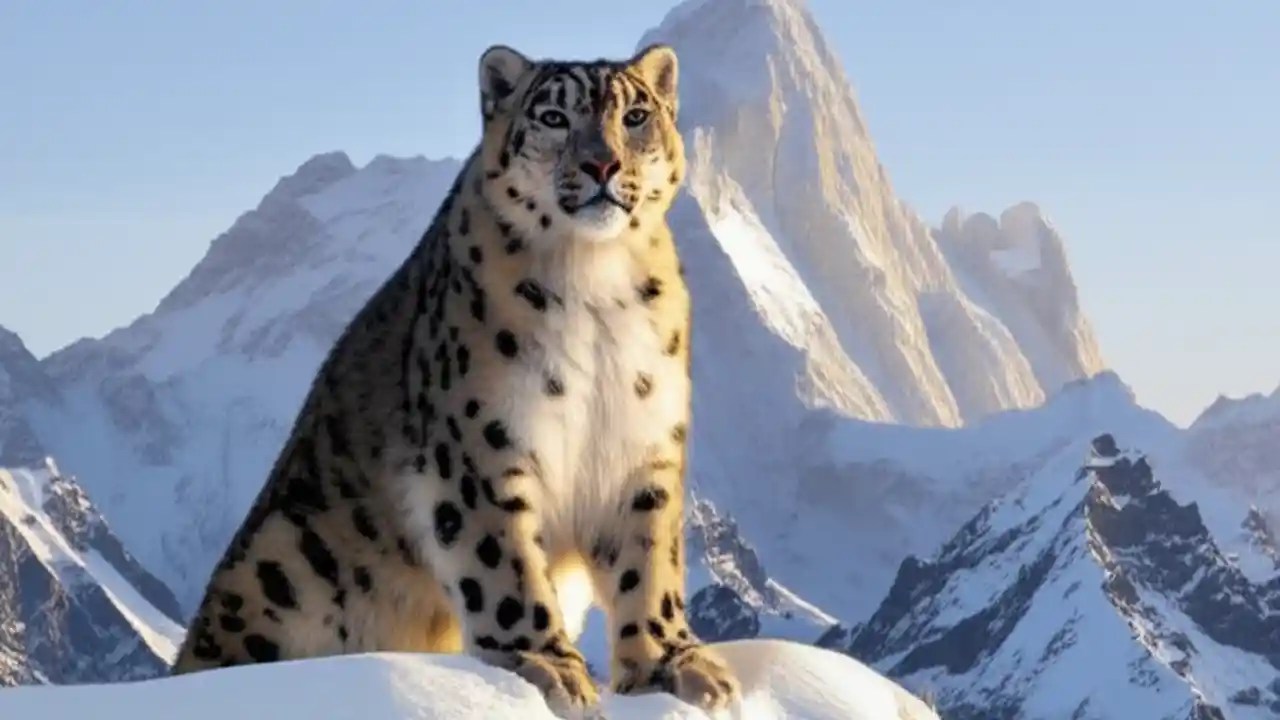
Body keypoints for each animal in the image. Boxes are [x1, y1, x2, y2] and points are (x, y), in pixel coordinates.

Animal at [171, 42, 740, 717]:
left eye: (635, 117)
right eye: (553, 117)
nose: (601, 164)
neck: (597, 283)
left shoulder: (640, 446)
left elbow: (648, 563)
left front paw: (675, 664)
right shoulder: (482, 448)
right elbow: (505, 566)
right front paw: (550, 667)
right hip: (283, 556)